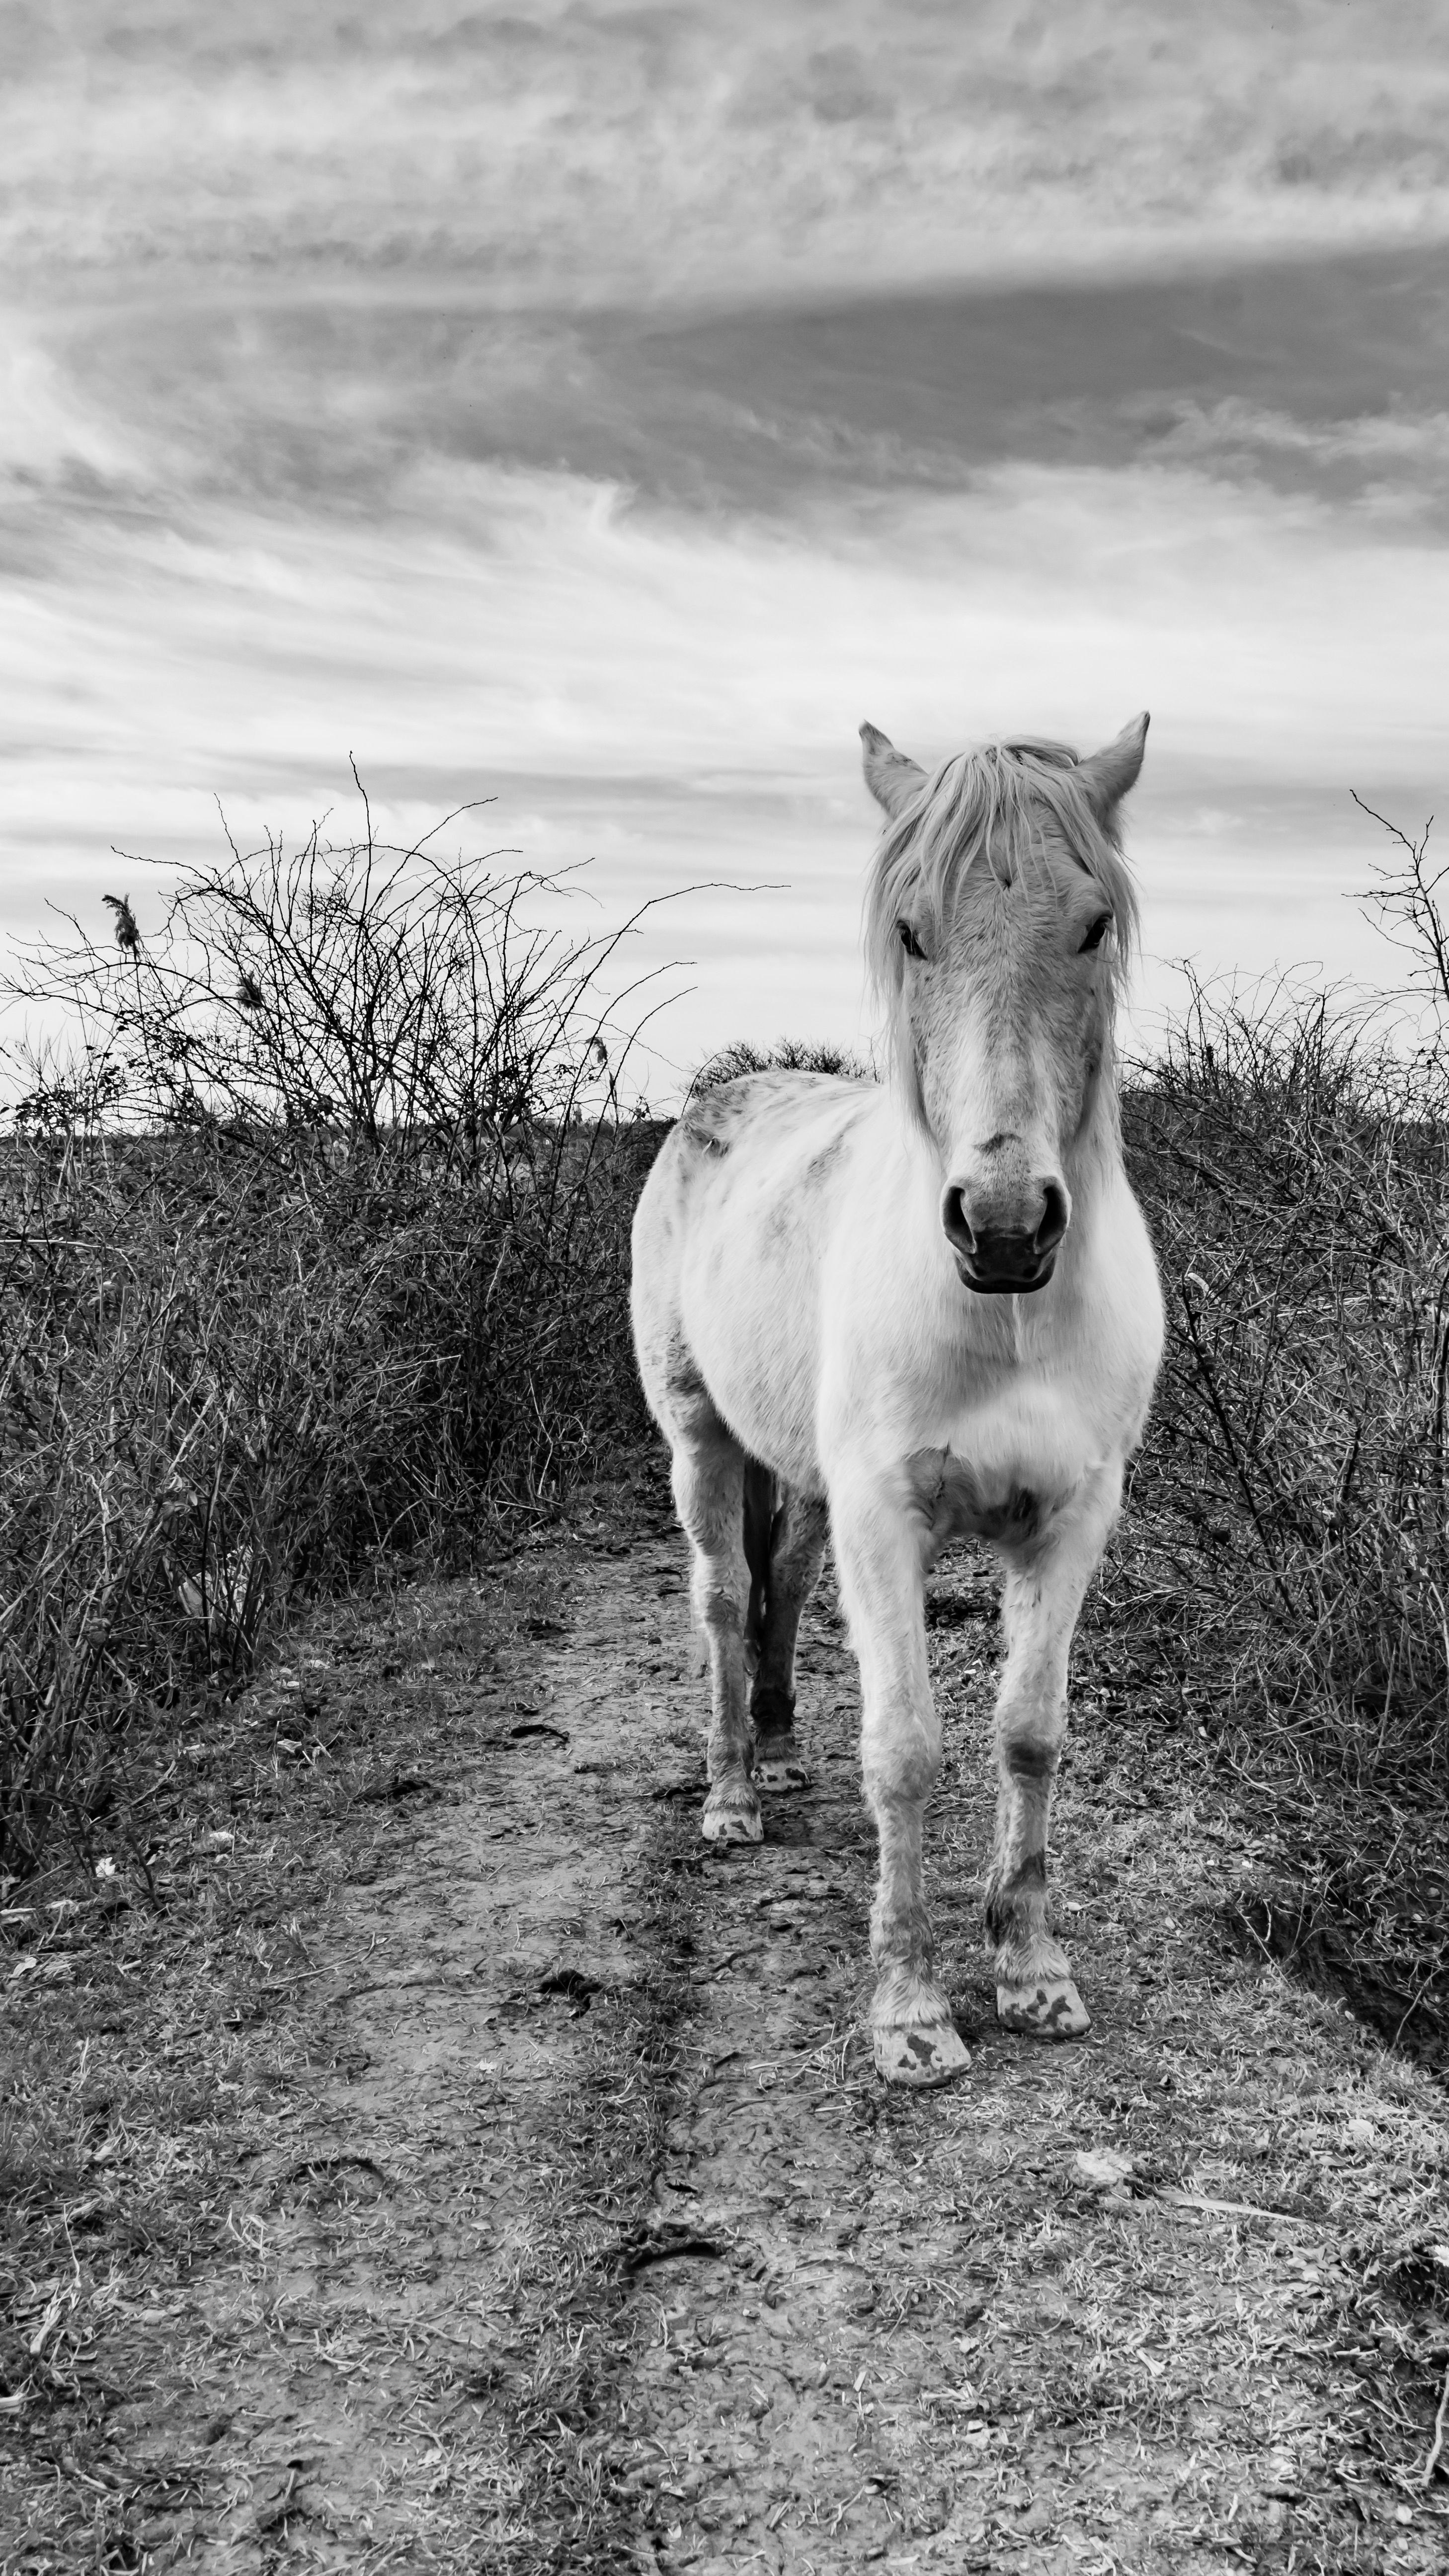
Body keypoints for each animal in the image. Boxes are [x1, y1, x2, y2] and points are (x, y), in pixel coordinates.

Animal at [630, 717, 1164, 2087]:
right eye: (912, 930)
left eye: (1093, 924)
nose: (1005, 1227)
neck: (1003, 1322)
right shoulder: (887, 1520)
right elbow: (907, 1748)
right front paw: (911, 2007)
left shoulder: (1070, 1520)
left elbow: (1028, 1732)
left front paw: (1030, 1970)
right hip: (701, 1440)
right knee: (726, 1598)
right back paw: (731, 1792)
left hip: (804, 1479)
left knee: (783, 1577)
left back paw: (775, 1737)